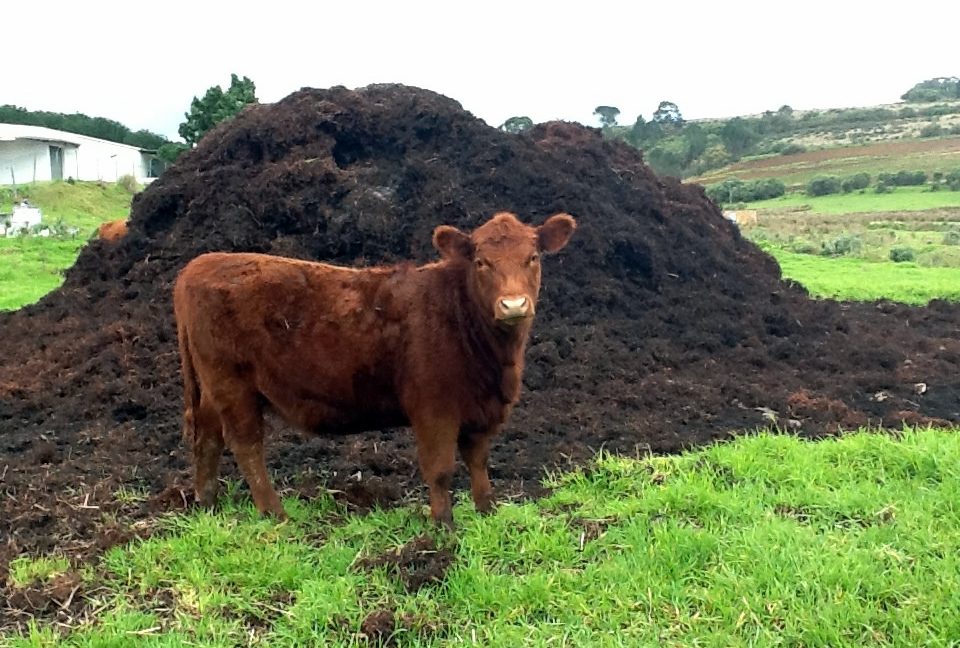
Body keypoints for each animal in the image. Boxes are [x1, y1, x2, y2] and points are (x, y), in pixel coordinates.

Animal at [173, 211, 576, 527]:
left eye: (533, 257)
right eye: (481, 262)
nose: (513, 305)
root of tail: (199, 264)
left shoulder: (481, 409)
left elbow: (478, 461)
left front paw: (487, 512)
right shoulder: (434, 408)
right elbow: (440, 468)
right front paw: (443, 526)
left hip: (212, 388)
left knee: (208, 436)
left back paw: (207, 505)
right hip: (232, 384)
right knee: (246, 445)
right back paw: (276, 514)